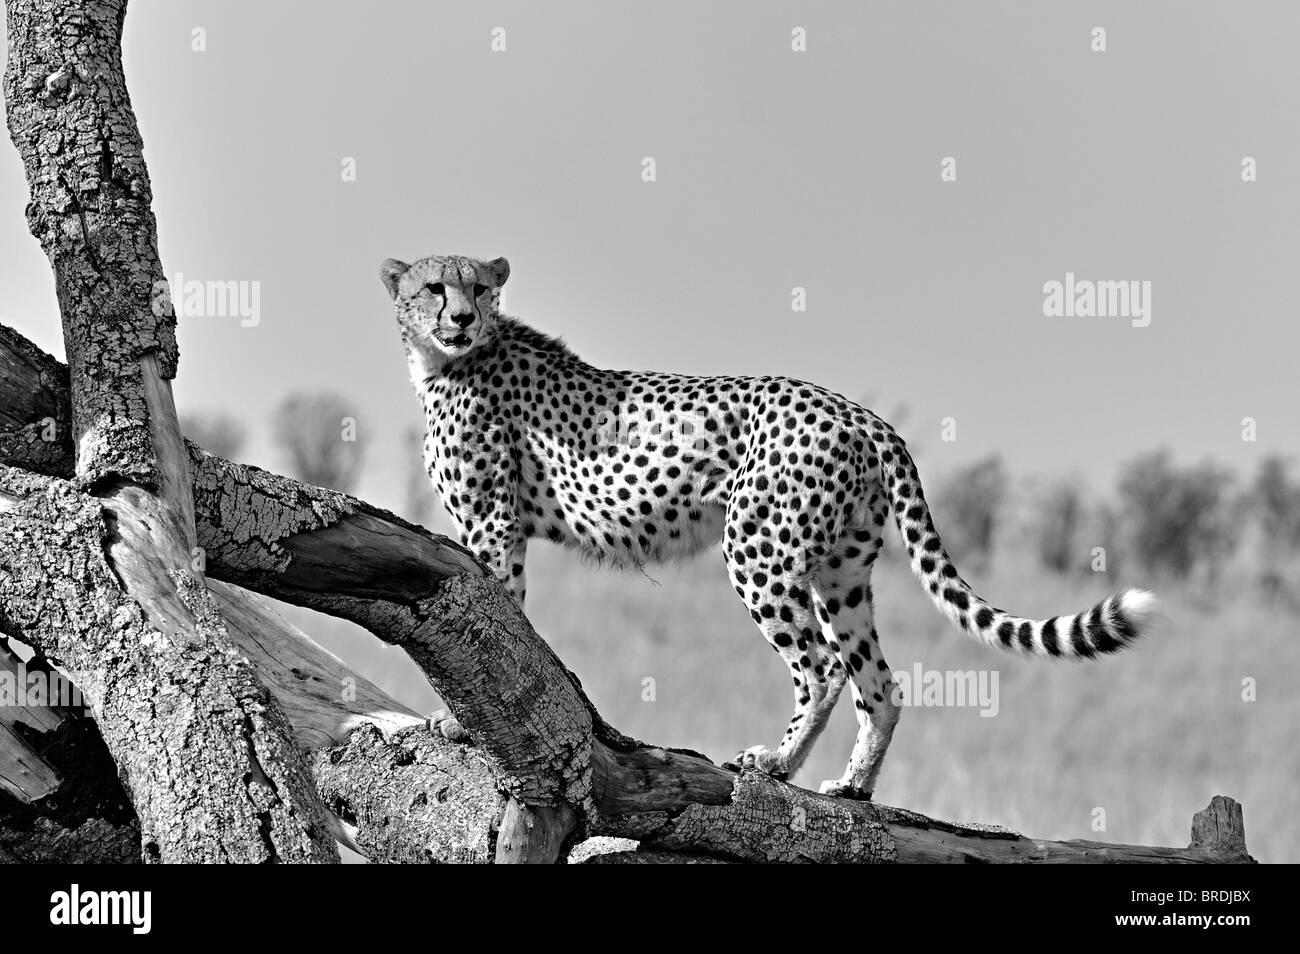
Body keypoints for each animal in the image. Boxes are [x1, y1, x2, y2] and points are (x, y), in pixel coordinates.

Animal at [381, 252, 1159, 800]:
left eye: (478, 290)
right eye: (434, 289)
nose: (462, 319)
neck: (444, 361)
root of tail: (864, 414)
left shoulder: (493, 520)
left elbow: (496, 607)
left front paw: (461, 720)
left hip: (757, 550)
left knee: (820, 668)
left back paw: (777, 763)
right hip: (842, 572)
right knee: (879, 683)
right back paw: (853, 785)